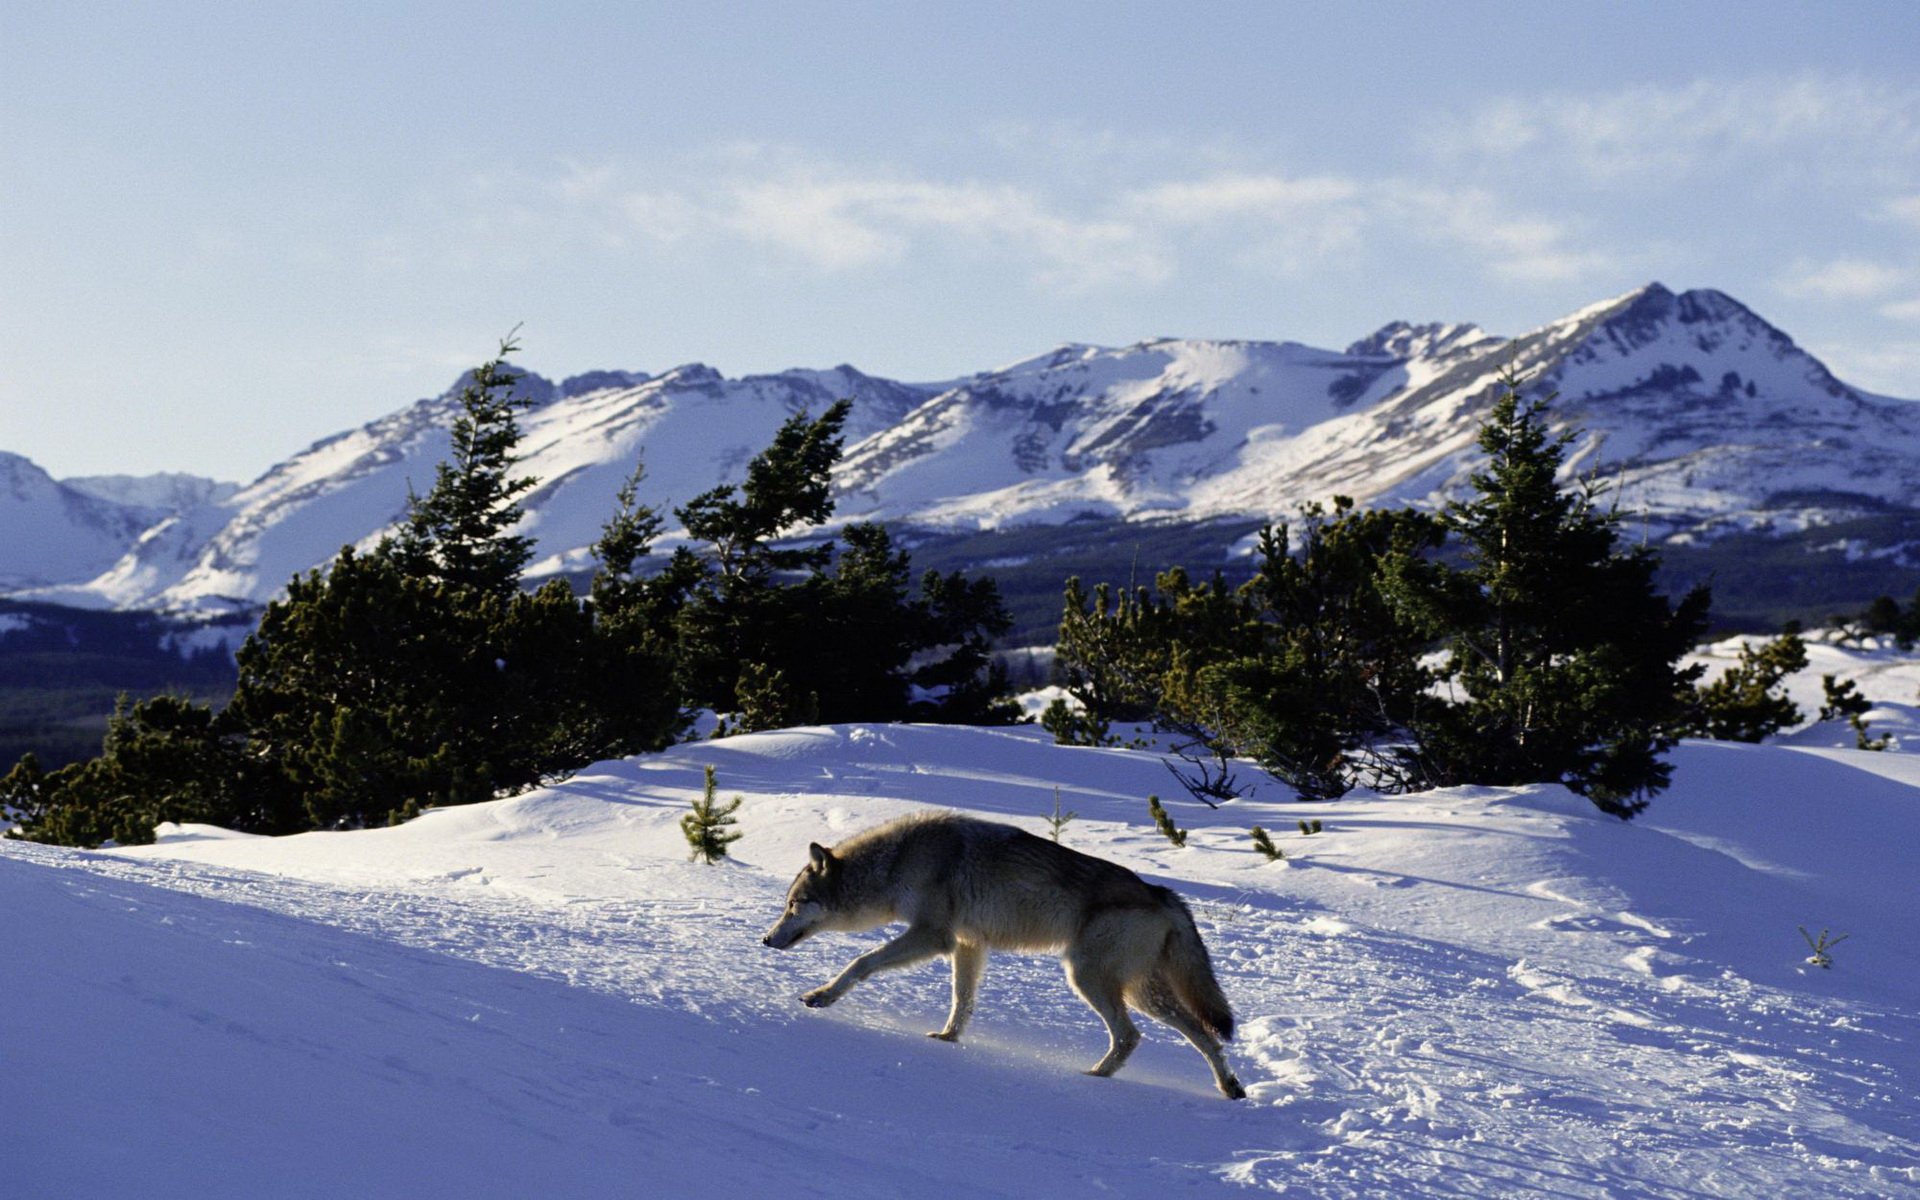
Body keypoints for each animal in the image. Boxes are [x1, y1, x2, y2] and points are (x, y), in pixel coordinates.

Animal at [762, 811, 1246, 1099]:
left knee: (1131, 1036)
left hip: (1090, 979)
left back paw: (1095, 1078)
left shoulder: (933, 936)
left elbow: (861, 962)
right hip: (1141, 993)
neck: (897, 861)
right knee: (1203, 1034)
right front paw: (948, 1039)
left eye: (793, 905)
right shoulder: (966, 945)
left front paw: (821, 996)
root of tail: (1163, 894)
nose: (766, 940)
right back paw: (1230, 1087)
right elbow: (962, 1000)